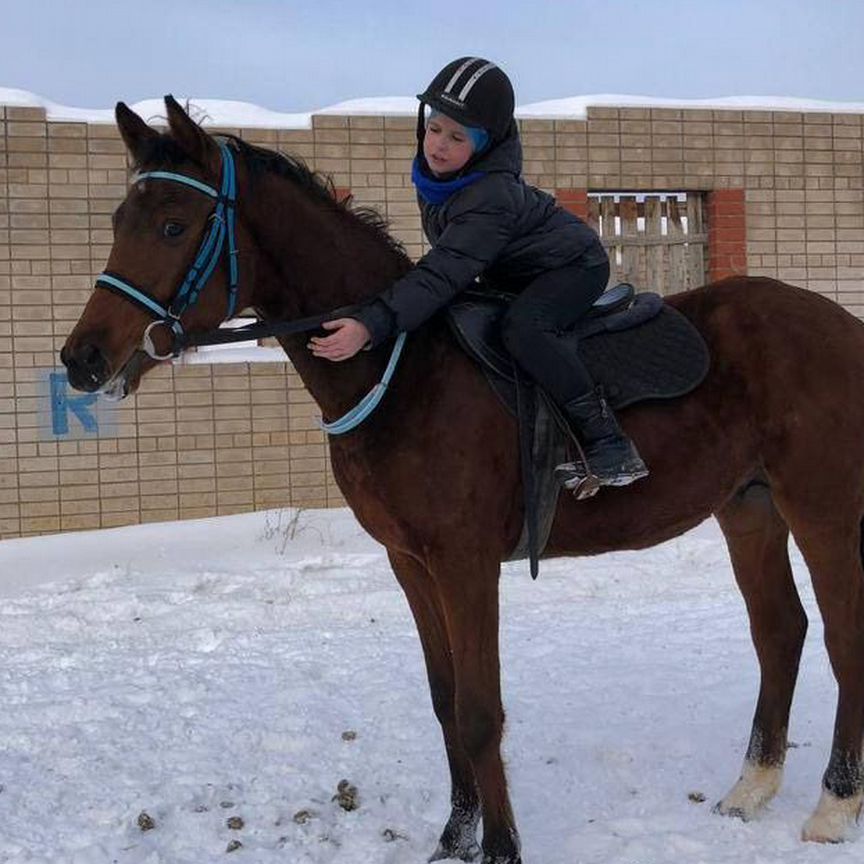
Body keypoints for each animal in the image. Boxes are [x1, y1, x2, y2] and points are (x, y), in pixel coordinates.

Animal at [61, 96, 864, 862]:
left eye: (173, 226)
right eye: (119, 220)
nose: (82, 358)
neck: (403, 366)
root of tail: (842, 326)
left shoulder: (465, 563)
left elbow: (481, 712)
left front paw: (502, 848)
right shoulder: (411, 563)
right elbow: (446, 702)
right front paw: (455, 837)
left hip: (821, 509)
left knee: (840, 635)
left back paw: (834, 804)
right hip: (750, 508)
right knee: (779, 630)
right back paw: (752, 788)